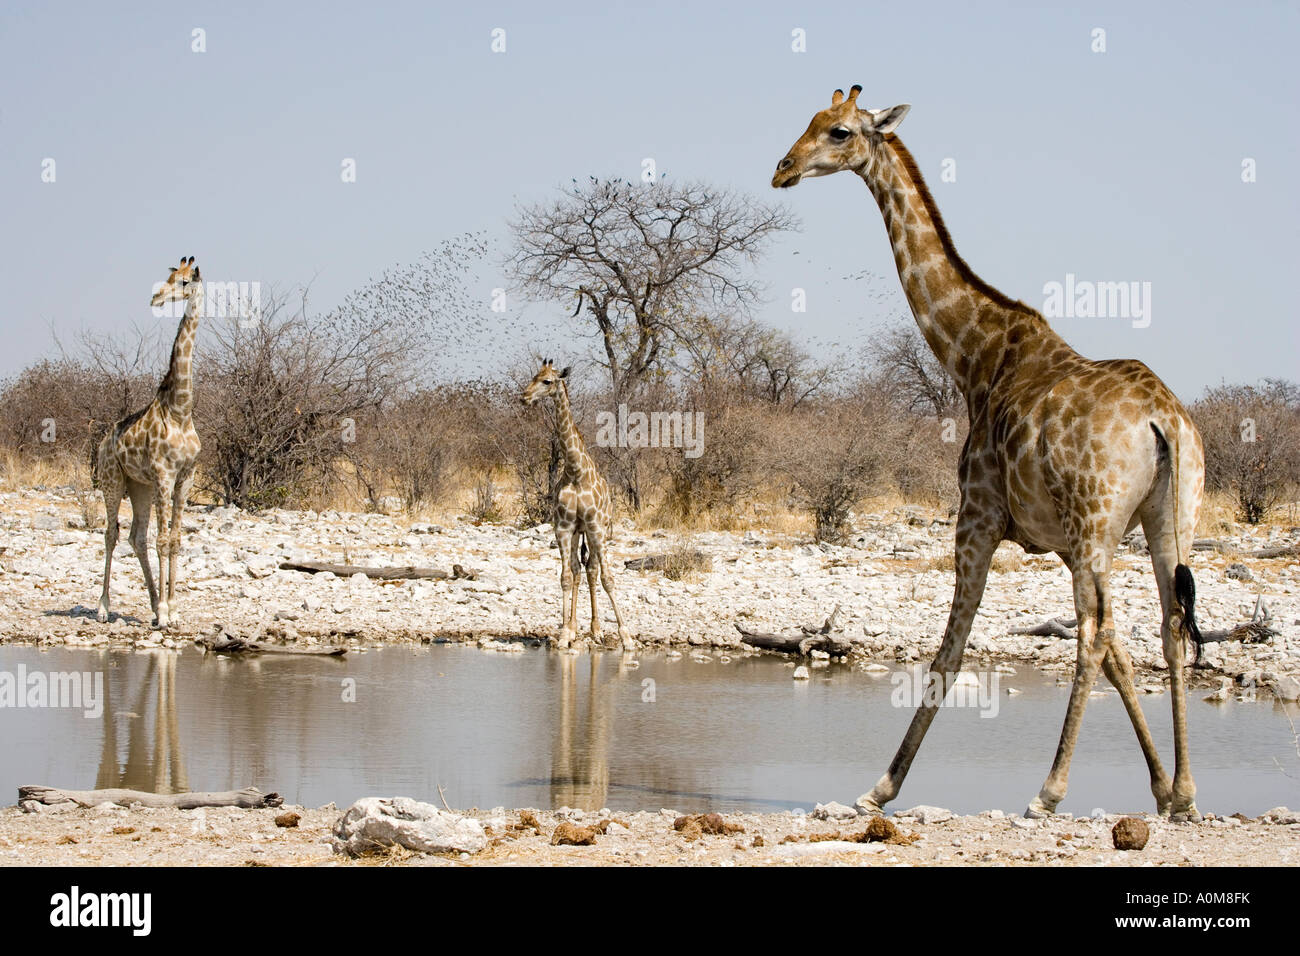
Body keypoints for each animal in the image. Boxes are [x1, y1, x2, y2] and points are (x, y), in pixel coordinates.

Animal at [95, 256, 204, 630]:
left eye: (184, 281)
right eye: (169, 277)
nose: (156, 298)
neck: (181, 409)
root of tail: (102, 441)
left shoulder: (184, 479)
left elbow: (175, 540)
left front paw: (172, 610)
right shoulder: (163, 475)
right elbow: (163, 540)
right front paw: (167, 613)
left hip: (138, 486)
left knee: (135, 537)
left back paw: (154, 604)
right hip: (113, 481)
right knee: (111, 534)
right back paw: (103, 608)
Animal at [521, 359, 634, 651]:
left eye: (547, 381)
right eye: (533, 376)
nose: (524, 397)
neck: (575, 470)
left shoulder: (594, 526)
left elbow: (607, 578)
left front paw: (626, 636)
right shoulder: (563, 527)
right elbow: (566, 577)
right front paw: (564, 634)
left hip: (599, 531)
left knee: (592, 571)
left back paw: (596, 629)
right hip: (577, 533)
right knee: (577, 571)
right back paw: (573, 628)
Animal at [773, 87, 1206, 821]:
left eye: (837, 132)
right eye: (808, 122)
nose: (782, 169)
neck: (973, 357)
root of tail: (1165, 420)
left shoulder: (976, 518)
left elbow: (949, 651)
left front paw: (879, 788)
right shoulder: (1058, 541)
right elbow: (1125, 655)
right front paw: (1159, 788)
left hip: (1098, 521)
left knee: (1092, 635)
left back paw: (1047, 792)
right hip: (1168, 519)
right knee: (1167, 625)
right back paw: (1187, 792)